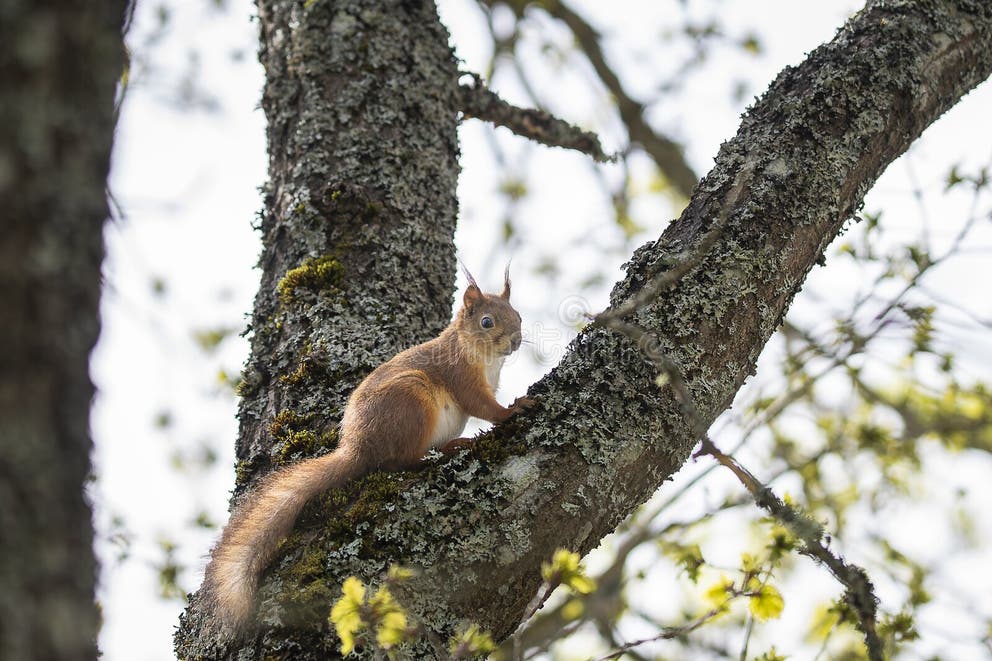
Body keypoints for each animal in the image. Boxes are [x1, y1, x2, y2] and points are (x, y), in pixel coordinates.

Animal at [199, 270, 533, 634]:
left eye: (518, 316)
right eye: (487, 322)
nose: (515, 341)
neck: (483, 356)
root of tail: (358, 448)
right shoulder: (460, 375)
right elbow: (483, 406)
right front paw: (513, 409)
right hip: (412, 399)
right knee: (401, 461)